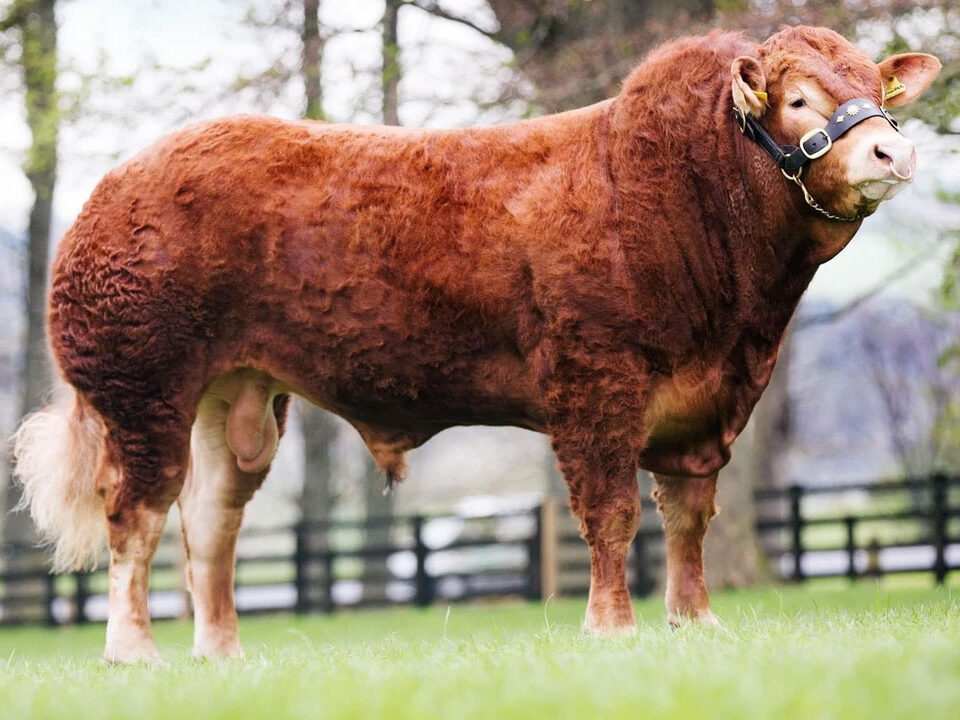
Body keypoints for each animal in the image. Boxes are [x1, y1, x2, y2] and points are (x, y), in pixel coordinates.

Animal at [11, 25, 939, 662]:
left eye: (878, 88)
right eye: (799, 99)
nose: (892, 150)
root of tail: (117, 183)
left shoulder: (707, 406)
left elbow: (687, 517)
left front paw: (695, 620)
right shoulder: (593, 380)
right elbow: (609, 512)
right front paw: (613, 628)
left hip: (236, 395)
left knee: (210, 520)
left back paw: (222, 655)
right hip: (141, 392)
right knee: (137, 515)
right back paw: (134, 651)